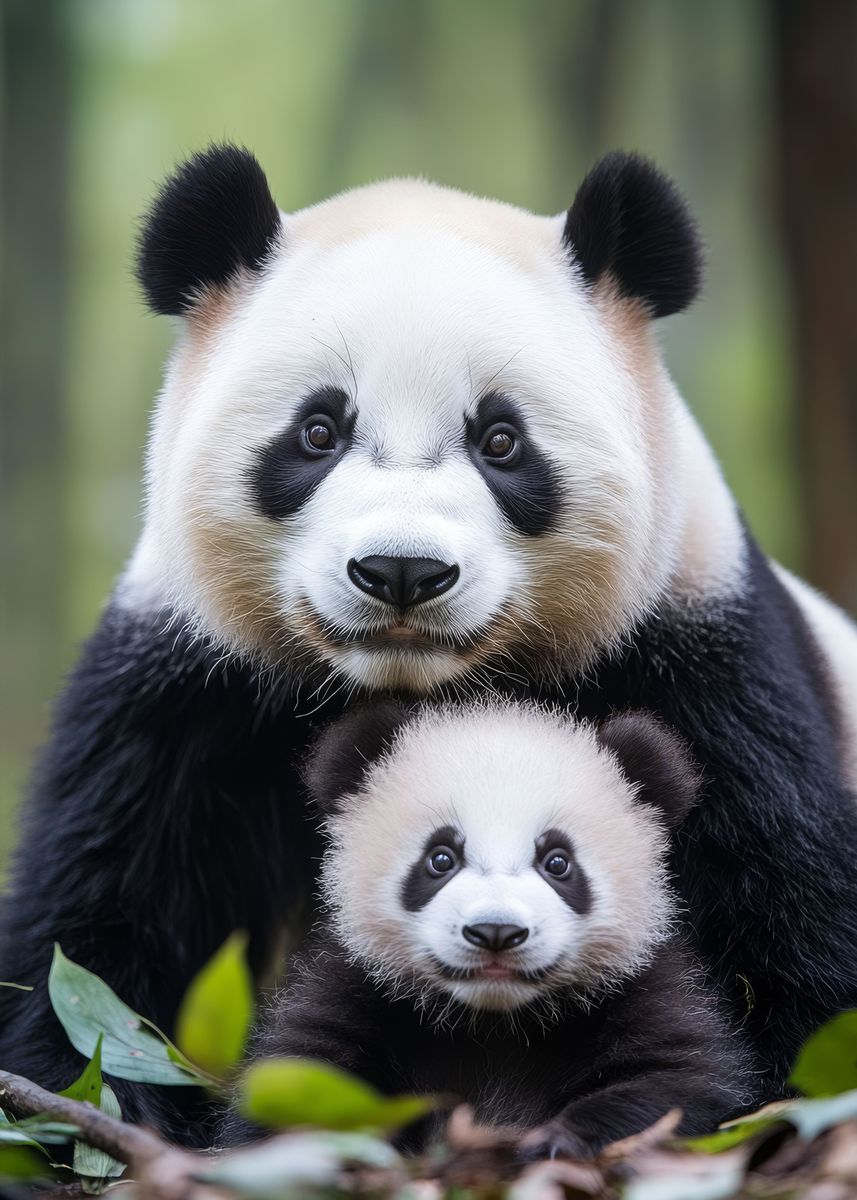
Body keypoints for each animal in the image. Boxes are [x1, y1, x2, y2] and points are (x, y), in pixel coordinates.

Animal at [222, 700, 756, 1156]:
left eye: (557, 862)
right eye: (440, 858)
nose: (496, 931)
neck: (493, 1022)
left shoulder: (638, 985)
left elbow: (675, 1083)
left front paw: (556, 1143)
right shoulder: (356, 985)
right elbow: (302, 1080)